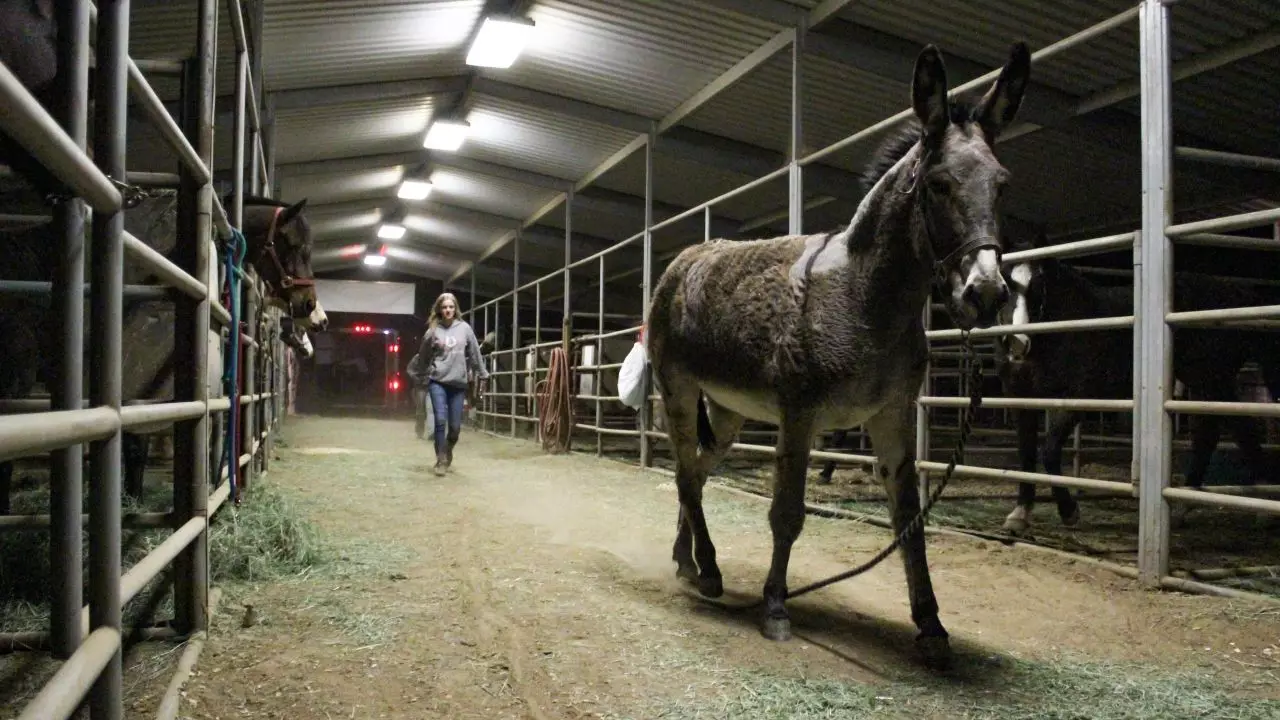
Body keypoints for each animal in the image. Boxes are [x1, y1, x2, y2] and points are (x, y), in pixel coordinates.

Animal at [650, 40, 1029, 666]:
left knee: (696, 474)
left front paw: (930, 624)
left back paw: (688, 560)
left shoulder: (892, 417)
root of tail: (685, 259)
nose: (986, 292)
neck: (865, 296)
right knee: (683, 473)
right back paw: (708, 572)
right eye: (938, 185)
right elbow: (786, 513)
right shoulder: (800, 415)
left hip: (727, 411)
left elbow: (909, 522)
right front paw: (776, 607)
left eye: (1003, 183)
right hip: (677, 386)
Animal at [993, 245, 1280, 532]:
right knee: (1213, 432)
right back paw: (1186, 506)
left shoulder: (1076, 398)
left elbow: (1050, 451)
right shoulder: (1020, 397)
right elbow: (1026, 453)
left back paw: (1260, 504)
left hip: (1213, 379)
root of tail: (1239, 295)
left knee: (1239, 428)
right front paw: (1020, 513)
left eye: (1039, 283)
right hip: (1204, 383)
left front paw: (1069, 512)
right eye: (1003, 283)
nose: (1016, 343)